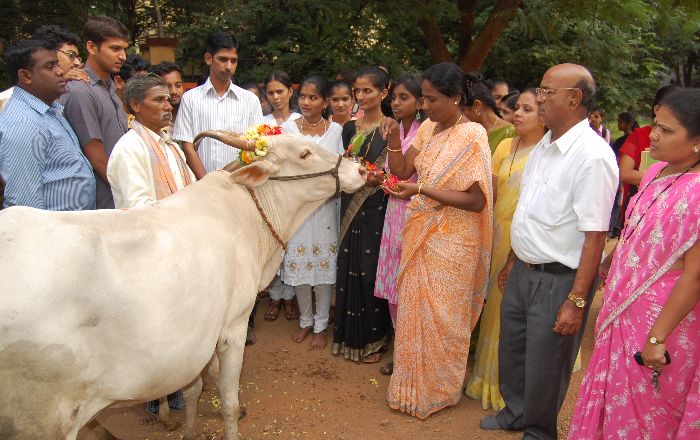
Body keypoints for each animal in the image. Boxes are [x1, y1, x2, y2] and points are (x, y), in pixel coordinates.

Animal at [0, 132, 366, 440]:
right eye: (304, 153)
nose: (360, 168)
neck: (249, 213)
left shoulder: (200, 339)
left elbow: (193, 388)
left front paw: (189, 430)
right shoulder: (232, 329)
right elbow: (228, 400)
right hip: (44, 421)